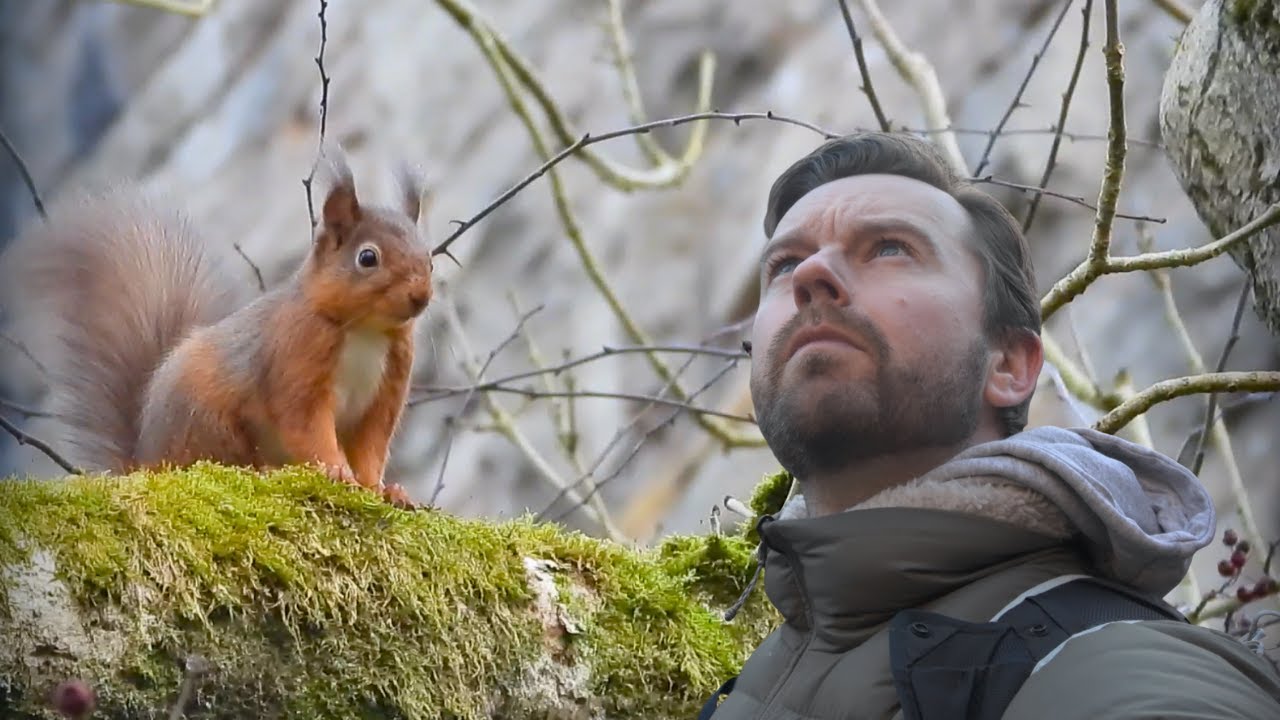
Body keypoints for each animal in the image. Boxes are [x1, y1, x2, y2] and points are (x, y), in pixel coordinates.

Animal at [0, 146, 433, 508]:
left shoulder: (385, 393)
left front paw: (384, 490)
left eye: (429, 258)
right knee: (224, 460)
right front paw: (336, 470)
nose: (422, 296)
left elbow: (372, 446)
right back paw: (265, 470)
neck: (366, 331)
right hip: (208, 420)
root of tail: (146, 462)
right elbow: (305, 423)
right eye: (367, 258)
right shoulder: (295, 359)